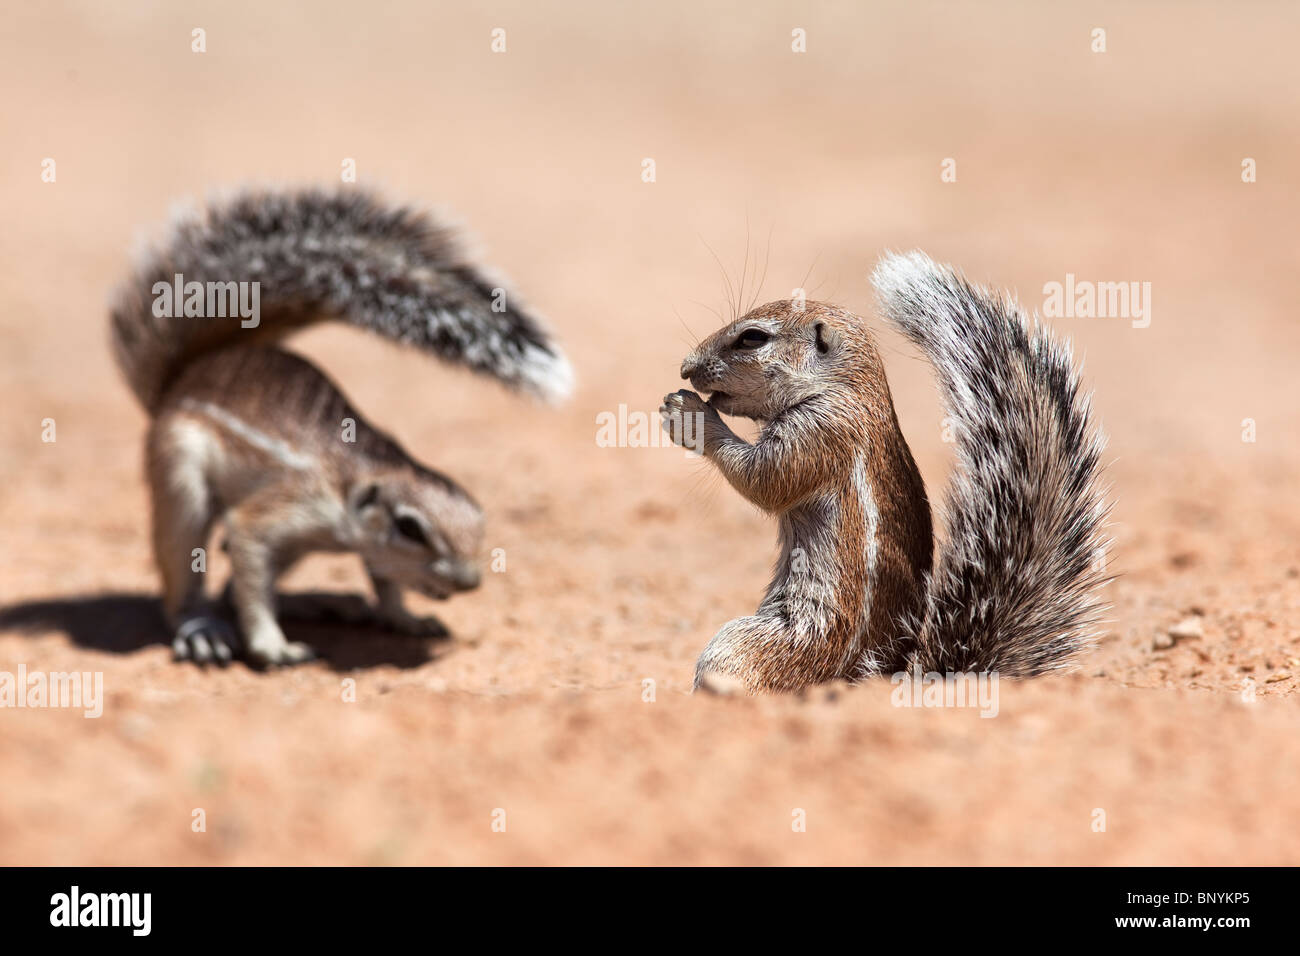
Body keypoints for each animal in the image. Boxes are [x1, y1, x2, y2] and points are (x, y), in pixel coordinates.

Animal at [110, 188, 572, 667]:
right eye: (410, 528)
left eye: (482, 520)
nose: (468, 583)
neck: (365, 478)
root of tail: (181, 379)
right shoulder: (283, 509)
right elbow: (250, 556)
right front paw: (273, 647)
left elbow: (383, 581)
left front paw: (406, 619)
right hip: (180, 475)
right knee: (186, 568)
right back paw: (203, 630)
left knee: (231, 589)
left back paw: (316, 604)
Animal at [661, 251, 1109, 693]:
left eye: (753, 337)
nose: (686, 368)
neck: (846, 388)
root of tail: (876, 676)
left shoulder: (820, 431)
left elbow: (765, 480)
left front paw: (690, 416)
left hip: (750, 644)